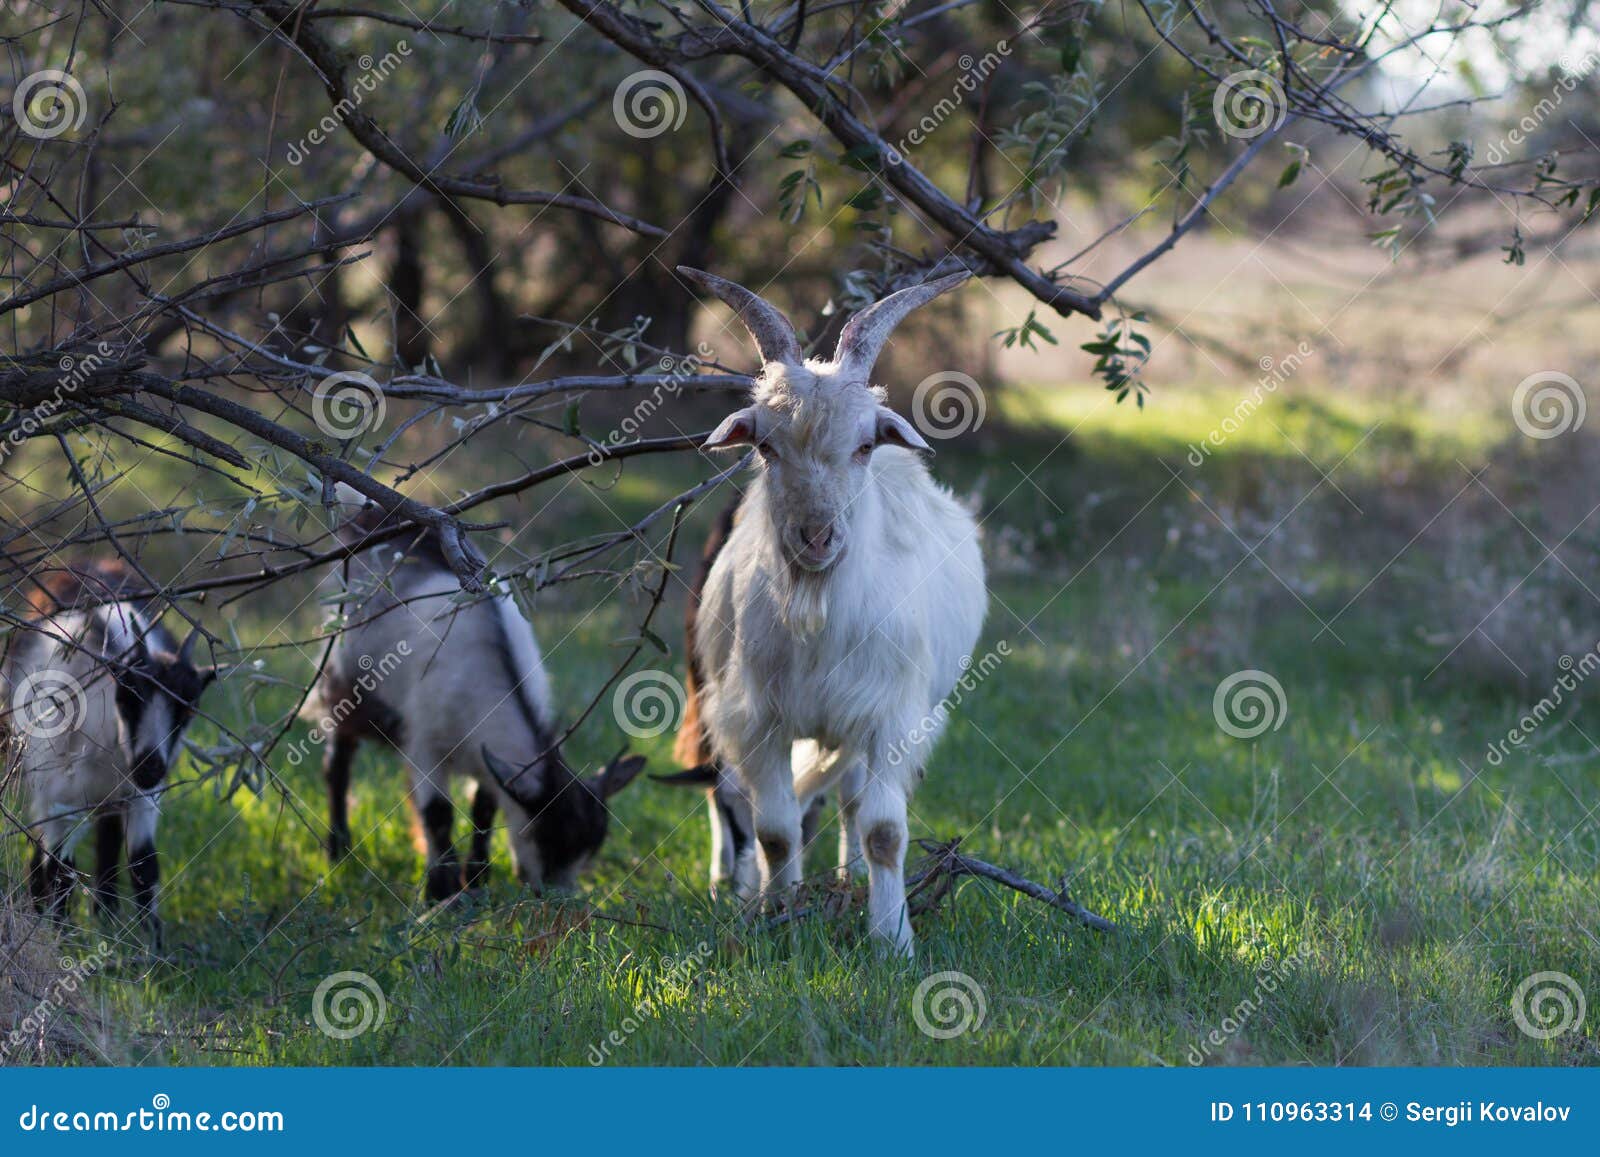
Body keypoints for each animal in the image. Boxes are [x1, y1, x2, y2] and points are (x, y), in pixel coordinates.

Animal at [3, 561, 215, 949]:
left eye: (187, 706)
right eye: (128, 697)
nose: (150, 767)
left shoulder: (141, 797)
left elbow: (144, 865)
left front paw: (153, 949)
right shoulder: (60, 796)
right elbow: (61, 870)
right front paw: (60, 942)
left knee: (107, 845)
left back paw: (106, 915)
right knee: (45, 850)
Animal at [309, 488, 646, 901]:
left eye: (590, 849)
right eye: (549, 841)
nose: (558, 899)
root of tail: (367, 514)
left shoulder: (488, 762)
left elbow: (483, 809)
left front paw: (477, 876)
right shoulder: (426, 745)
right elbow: (438, 813)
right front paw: (441, 891)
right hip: (342, 677)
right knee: (337, 764)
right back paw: (337, 848)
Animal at [675, 266, 987, 956]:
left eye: (865, 443)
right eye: (765, 446)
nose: (816, 538)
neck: (818, 617)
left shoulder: (890, 717)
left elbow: (884, 832)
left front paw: (893, 941)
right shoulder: (757, 720)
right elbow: (775, 833)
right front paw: (780, 918)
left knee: (851, 806)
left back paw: (852, 884)